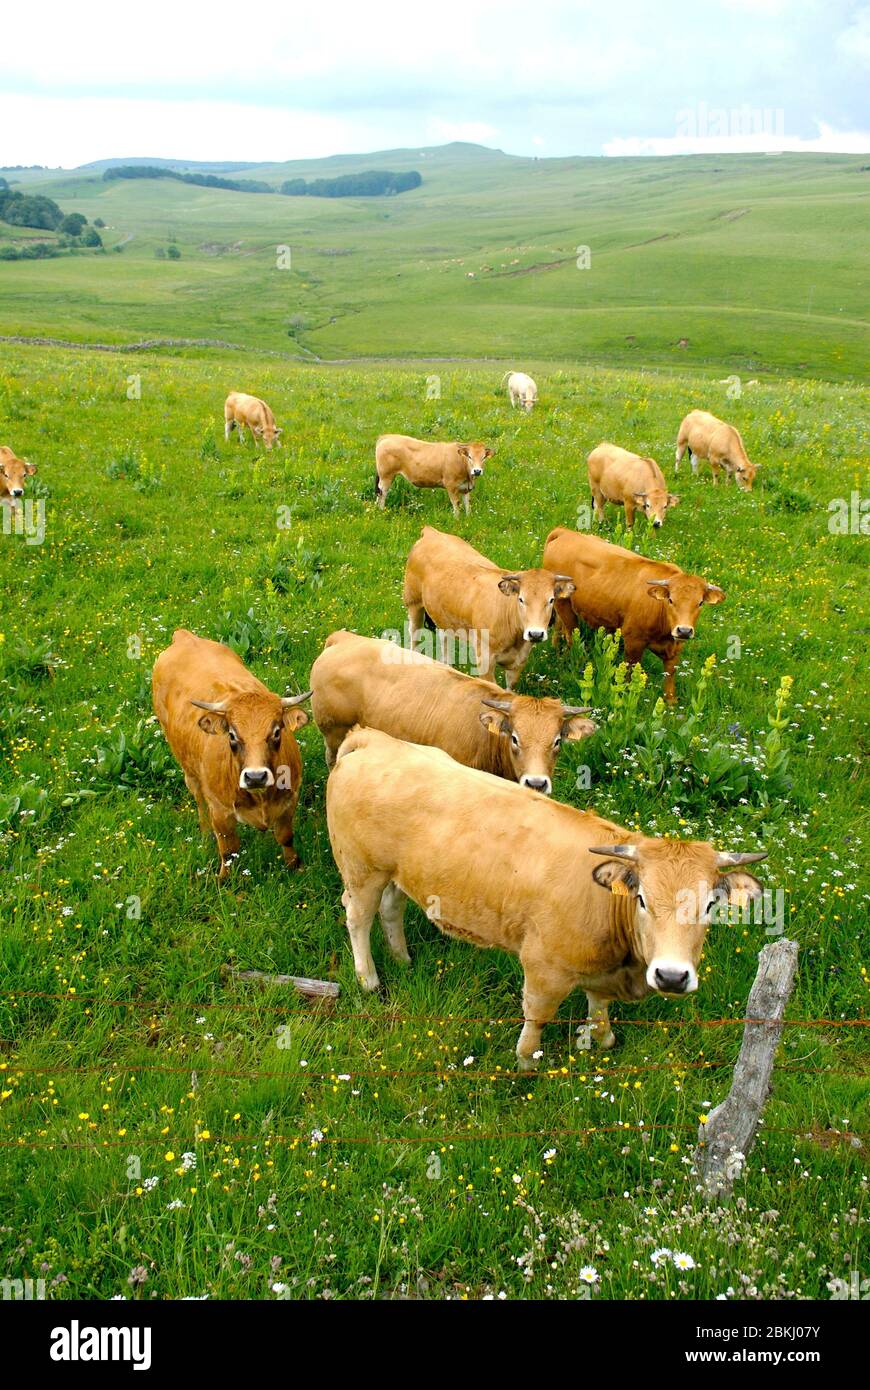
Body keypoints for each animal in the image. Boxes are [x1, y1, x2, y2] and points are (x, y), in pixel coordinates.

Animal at [152, 629, 310, 880]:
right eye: (232, 735)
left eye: (277, 731)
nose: (255, 776)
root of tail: (184, 636)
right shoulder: (220, 811)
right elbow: (228, 850)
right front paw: (223, 880)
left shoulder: (290, 799)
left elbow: (286, 837)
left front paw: (294, 866)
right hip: (188, 769)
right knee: (198, 798)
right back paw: (205, 832)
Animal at [327, 726, 767, 1067]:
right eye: (642, 899)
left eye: (709, 905)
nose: (671, 976)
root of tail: (375, 740)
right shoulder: (543, 967)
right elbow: (537, 1017)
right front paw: (526, 1061)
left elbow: (599, 1006)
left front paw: (601, 1039)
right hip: (362, 871)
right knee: (358, 917)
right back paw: (369, 980)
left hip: (398, 874)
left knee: (391, 909)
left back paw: (403, 958)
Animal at [403, 526, 575, 689]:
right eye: (521, 599)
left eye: (551, 600)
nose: (536, 634)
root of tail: (431, 532)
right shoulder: (485, 659)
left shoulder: (519, 661)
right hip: (413, 603)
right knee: (414, 636)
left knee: (443, 637)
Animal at [542, 528, 725, 704]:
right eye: (671, 600)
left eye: (700, 603)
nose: (684, 631)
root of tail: (566, 532)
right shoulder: (633, 640)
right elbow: (630, 670)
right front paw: (625, 694)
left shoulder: (675, 646)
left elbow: (670, 672)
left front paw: (671, 701)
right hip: (564, 605)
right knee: (572, 635)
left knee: (559, 625)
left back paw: (557, 650)